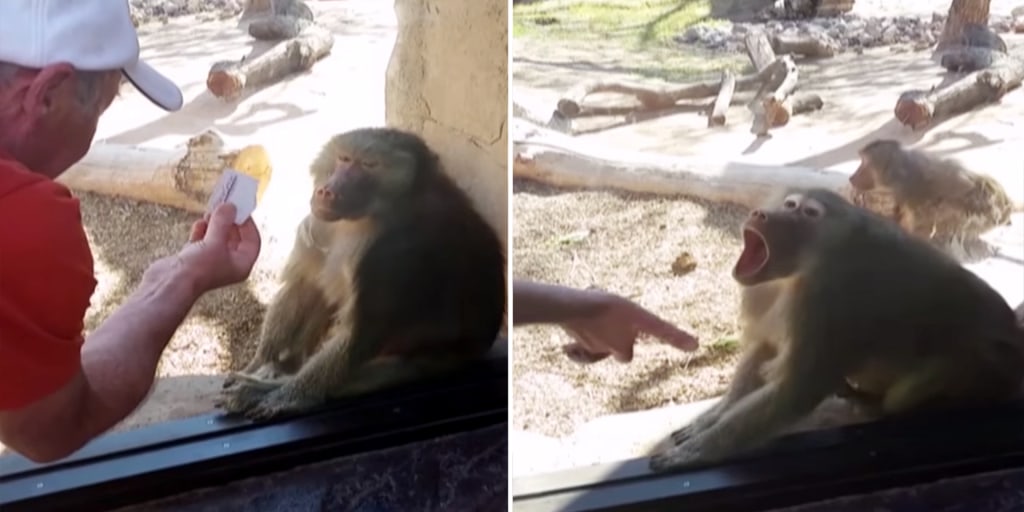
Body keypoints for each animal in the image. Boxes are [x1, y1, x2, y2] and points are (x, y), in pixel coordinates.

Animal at [217, 127, 507, 421]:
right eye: (344, 159)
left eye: (368, 165)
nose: (327, 191)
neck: (364, 218)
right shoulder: (321, 224)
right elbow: (304, 286)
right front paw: (260, 364)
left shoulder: (391, 256)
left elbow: (360, 333)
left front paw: (286, 395)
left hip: (434, 359)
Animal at [649, 188, 1024, 472]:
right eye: (790, 205)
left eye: (808, 213)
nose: (761, 215)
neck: (805, 264)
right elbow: (765, 351)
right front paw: (707, 421)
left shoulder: (829, 296)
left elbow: (796, 390)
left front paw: (697, 451)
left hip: (984, 369)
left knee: (919, 383)